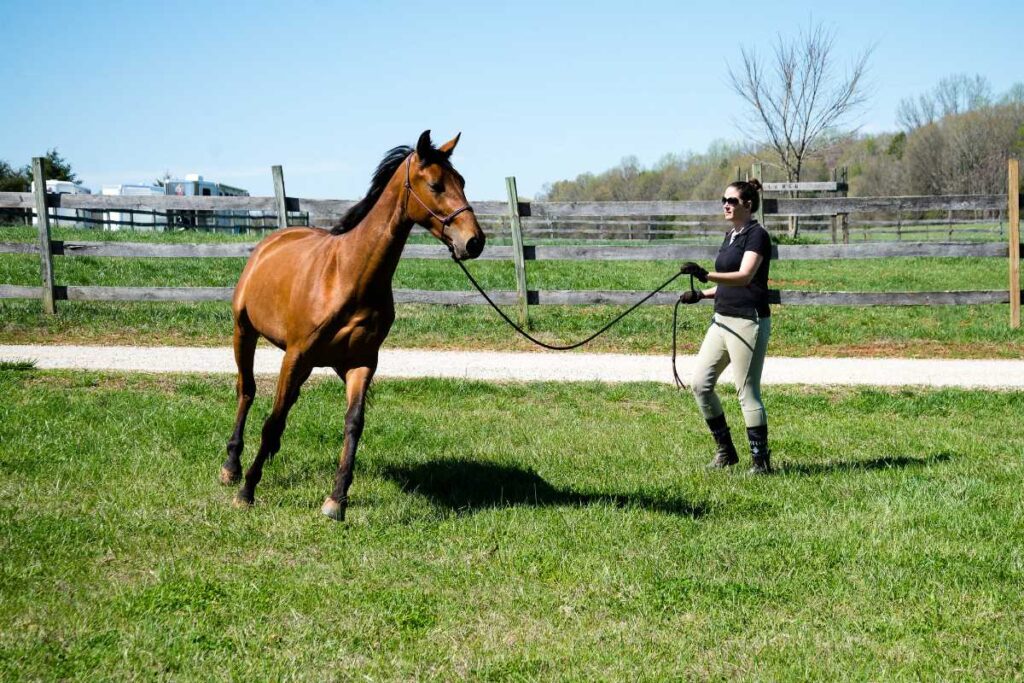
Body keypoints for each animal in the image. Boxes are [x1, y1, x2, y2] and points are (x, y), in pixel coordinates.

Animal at [220, 131, 485, 521]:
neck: (348, 274)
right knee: (247, 391)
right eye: (436, 185)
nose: (474, 241)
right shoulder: (295, 355)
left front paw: (336, 500)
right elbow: (272, 421)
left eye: (463, 182)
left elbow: (353, 424)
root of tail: (272, 241)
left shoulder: (361, 363)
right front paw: (247, 490)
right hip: (245, 333)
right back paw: (231, 467)